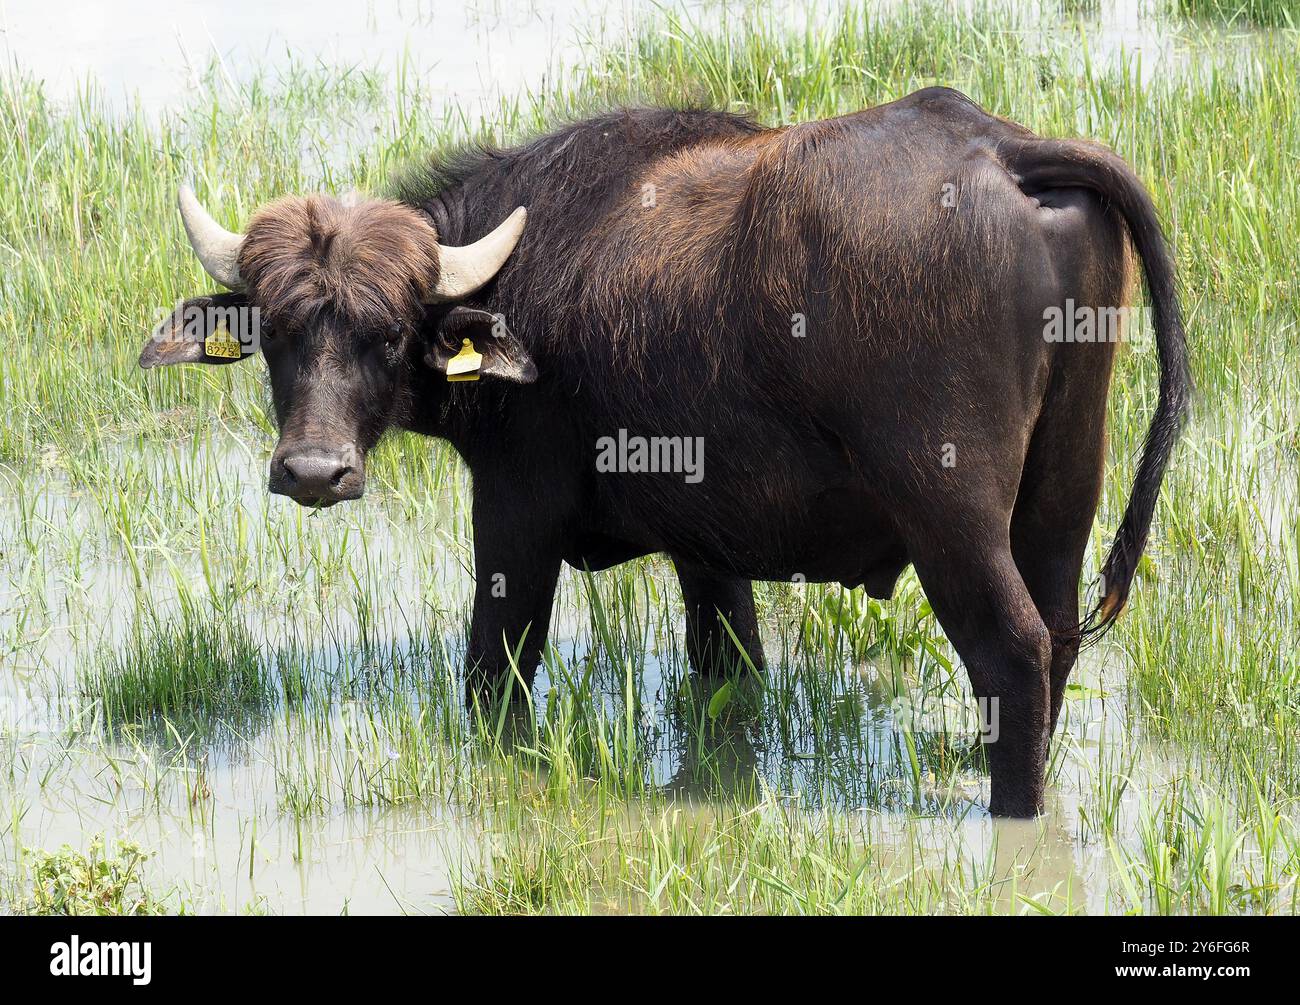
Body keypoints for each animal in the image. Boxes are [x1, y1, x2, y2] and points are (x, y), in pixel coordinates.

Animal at [140, 88, 1189, 816]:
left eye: (388, 333)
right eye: (278, 330)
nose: (315, 472)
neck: (522, 284)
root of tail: (997, 146)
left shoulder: (515, 515)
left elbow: (495, 667)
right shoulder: (708, 546)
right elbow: (732, 665)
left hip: (950, 512)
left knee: (1012, 649)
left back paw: (1011, 808)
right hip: (1065, 489)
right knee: (1058, 635)